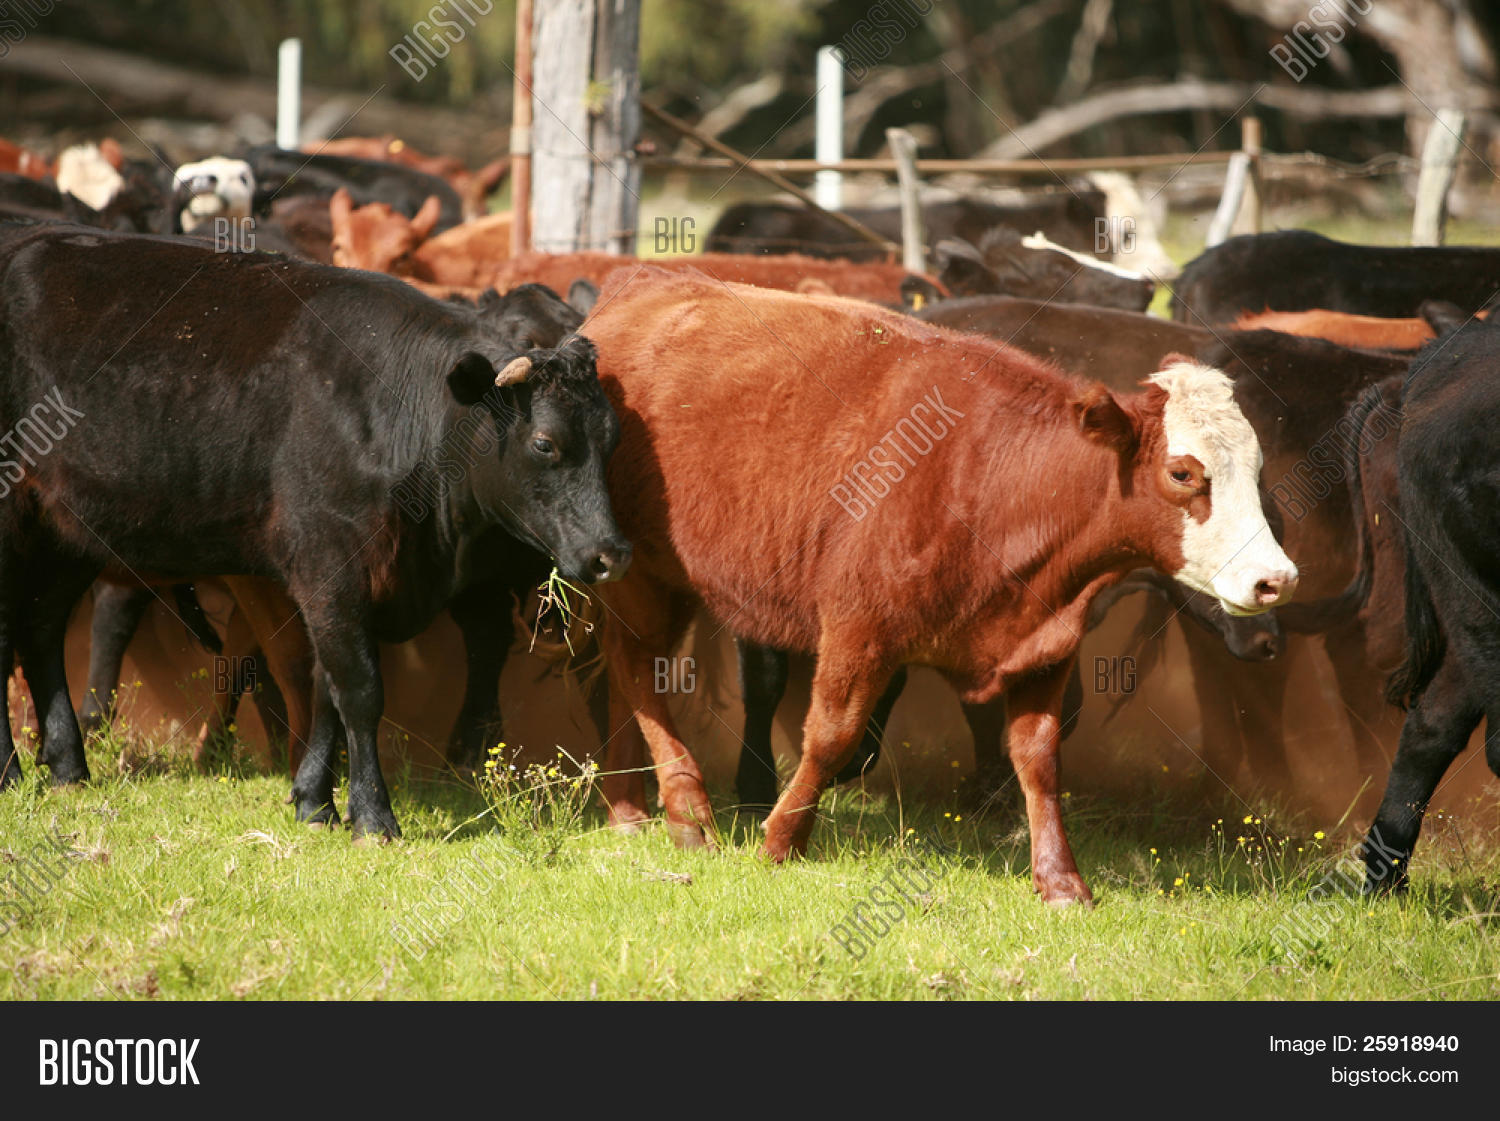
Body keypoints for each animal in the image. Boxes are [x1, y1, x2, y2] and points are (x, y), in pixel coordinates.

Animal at [0, 223, 629, 842]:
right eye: (544, 443)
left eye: (611, 436)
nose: (611, 554)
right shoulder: (330, 567)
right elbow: (358, 690)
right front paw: (372, 815)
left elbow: (326, 689)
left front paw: (314, 801)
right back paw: (11, 772)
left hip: (67, 532)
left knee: (41, 628)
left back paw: (68, 767)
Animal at [582, 268, 1295, 904]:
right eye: (1182, 472)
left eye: (1256, 466)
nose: (1275, 579)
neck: (989, 478)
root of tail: (641, 283)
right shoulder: (858, 630)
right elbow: (832, 736)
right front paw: (781, 839)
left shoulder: (1045, 646)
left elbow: (1039, 756)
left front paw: (1060, 881)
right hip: (641, 574)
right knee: (636, 667)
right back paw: (683, 810)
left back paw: (633, 807)